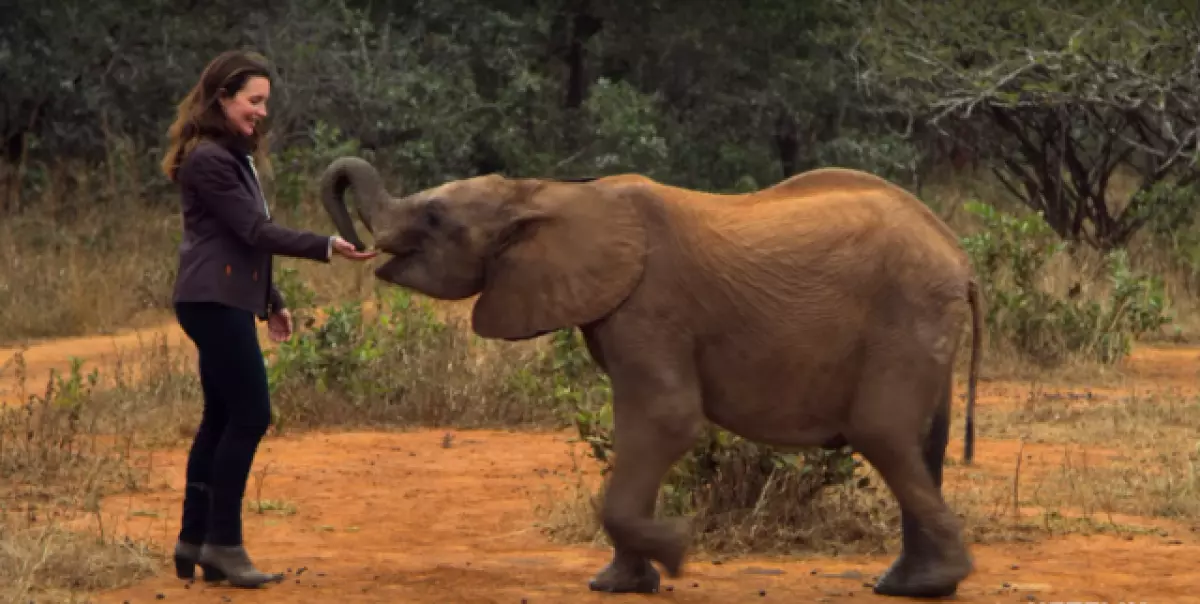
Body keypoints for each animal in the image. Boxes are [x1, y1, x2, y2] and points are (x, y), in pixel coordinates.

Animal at [314, 159, 979, 600]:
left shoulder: (650, 303)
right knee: (921, 445)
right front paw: (620, 582)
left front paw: (676, 549)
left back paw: (931, 583)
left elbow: (665, 421)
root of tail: (959, 255)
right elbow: (639, 428)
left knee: (882, 433)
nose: (350, 244)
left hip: (906, 313)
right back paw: (911, 584)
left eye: (433, 216)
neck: (548, 192)